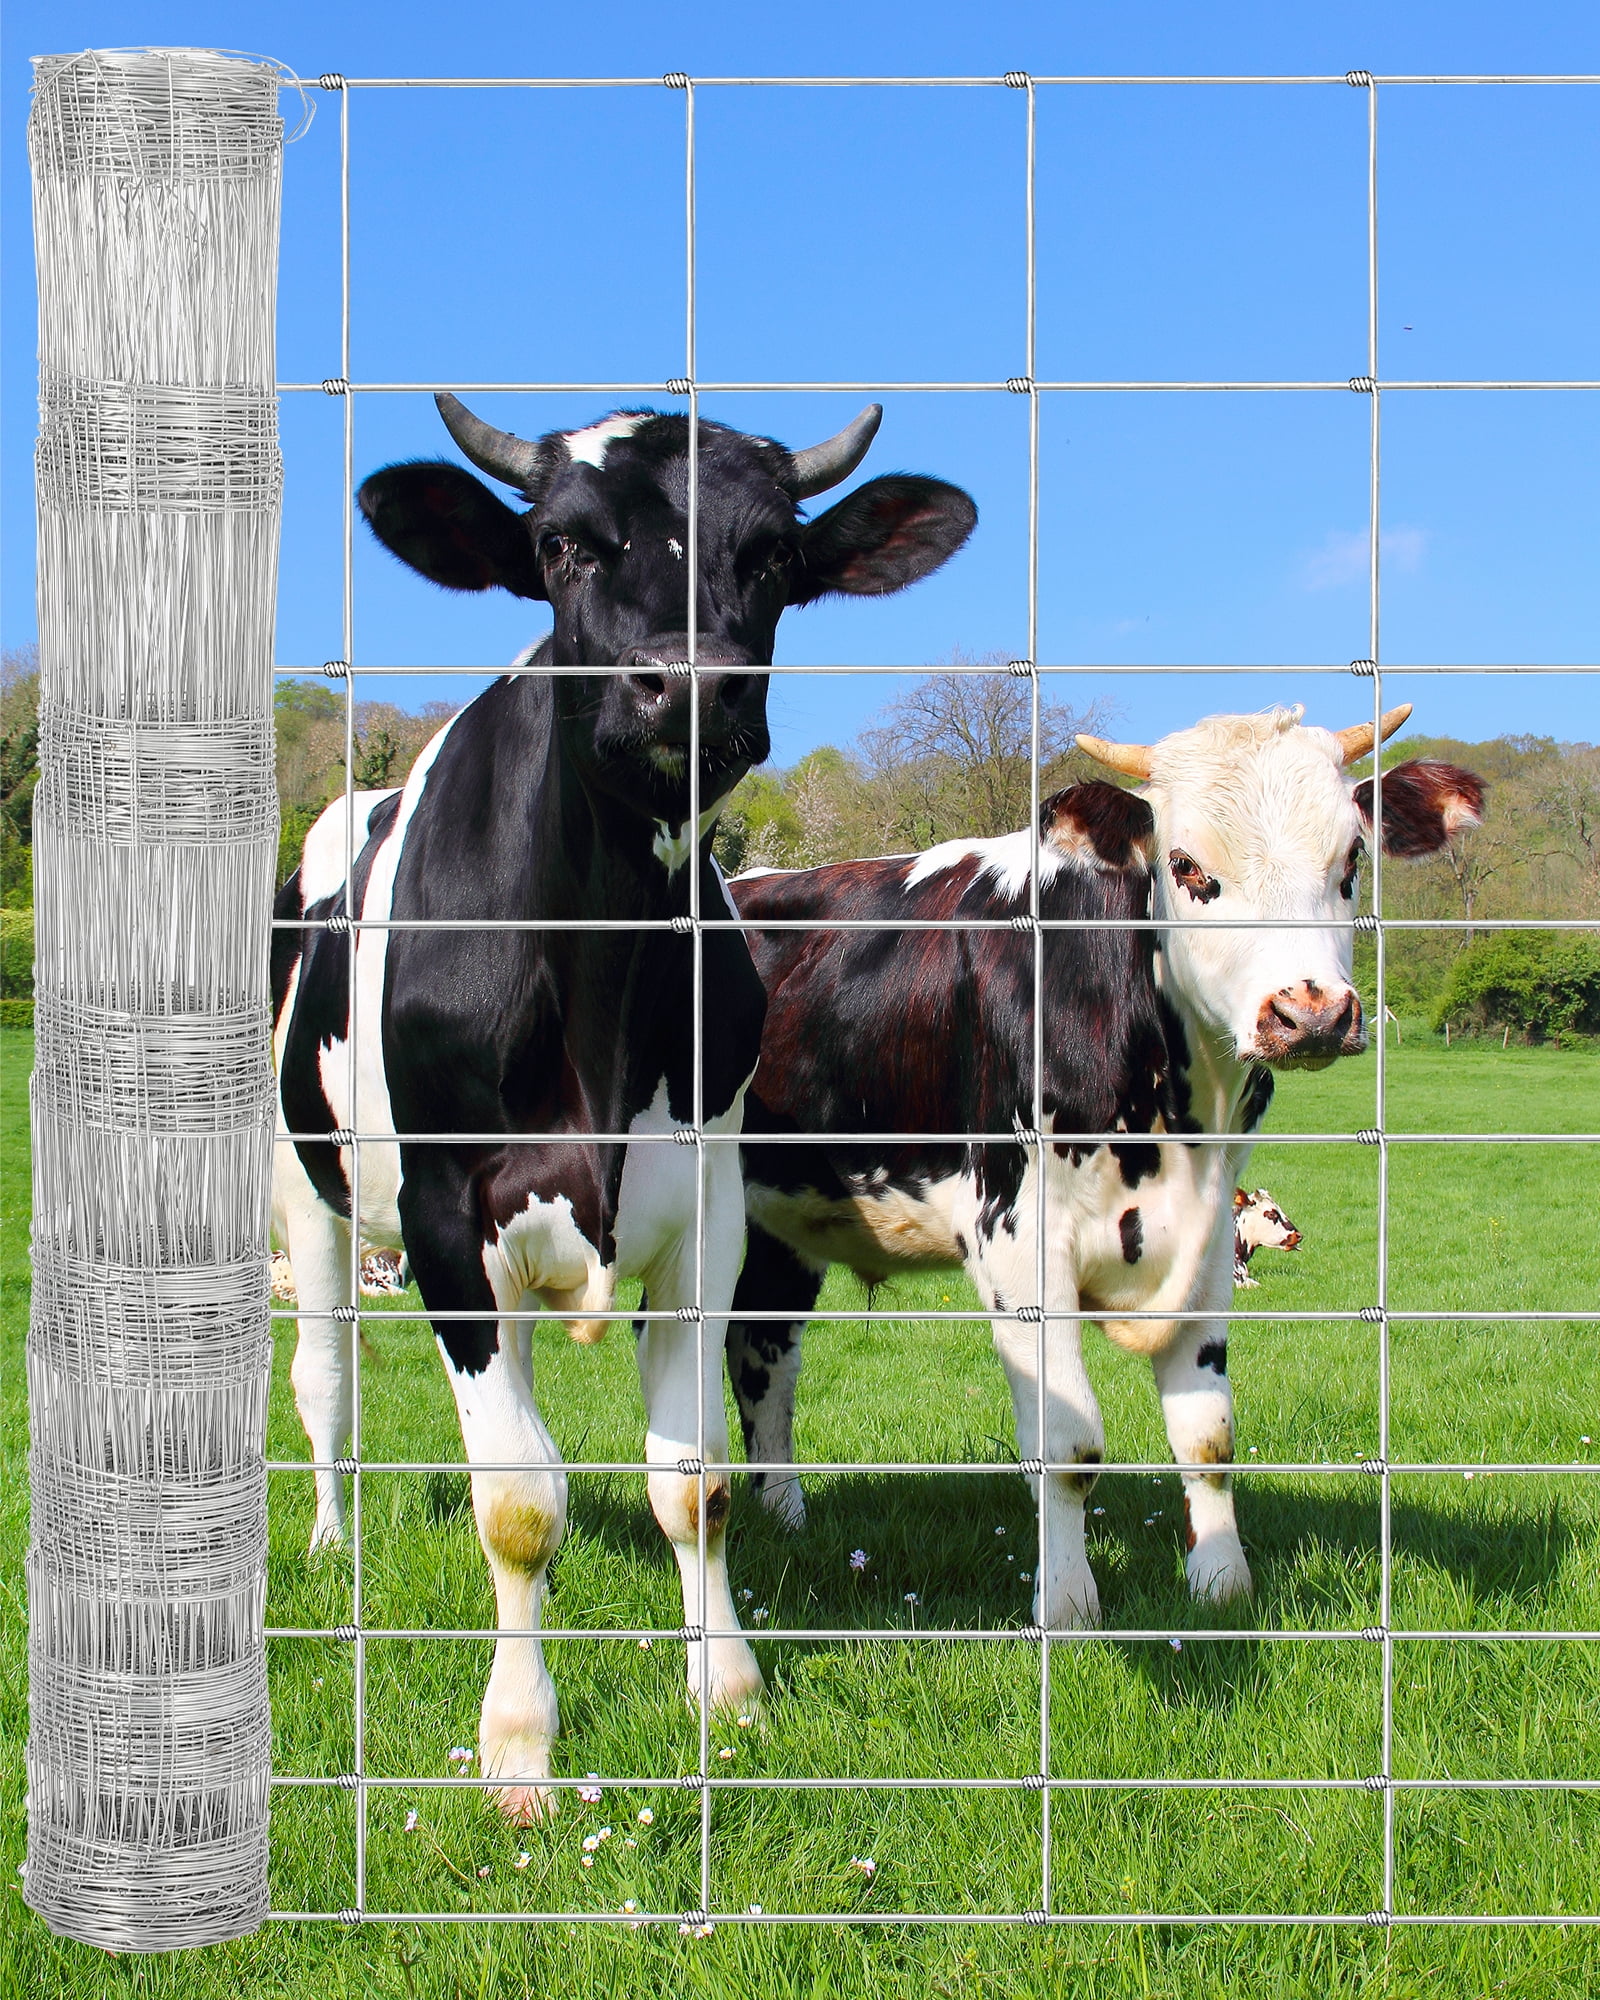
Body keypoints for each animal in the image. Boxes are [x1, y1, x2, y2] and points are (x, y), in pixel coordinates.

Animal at [271, 395, 977, 1819]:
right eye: (559, 543)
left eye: (774, 554)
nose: (688, 684)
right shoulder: (444, 1216)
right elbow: (517, 1504)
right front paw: (519, 1745)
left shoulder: (704, 1208)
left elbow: (692, 1478)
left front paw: (731, 1688)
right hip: (301, 1182)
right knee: (325, 1380)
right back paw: (327, 1536)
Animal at [724, 705, 1484, 1630]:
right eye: (1185, 865)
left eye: (1351, 862)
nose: (1309, 1014)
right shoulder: (1016, 1240)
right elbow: (1069, 1444)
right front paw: (1069, 1604)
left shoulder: (1209, 1242)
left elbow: (1209, 1434)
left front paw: (1222, 1583)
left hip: (780, 1223)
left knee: (763, 1356)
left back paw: (785, 1518)